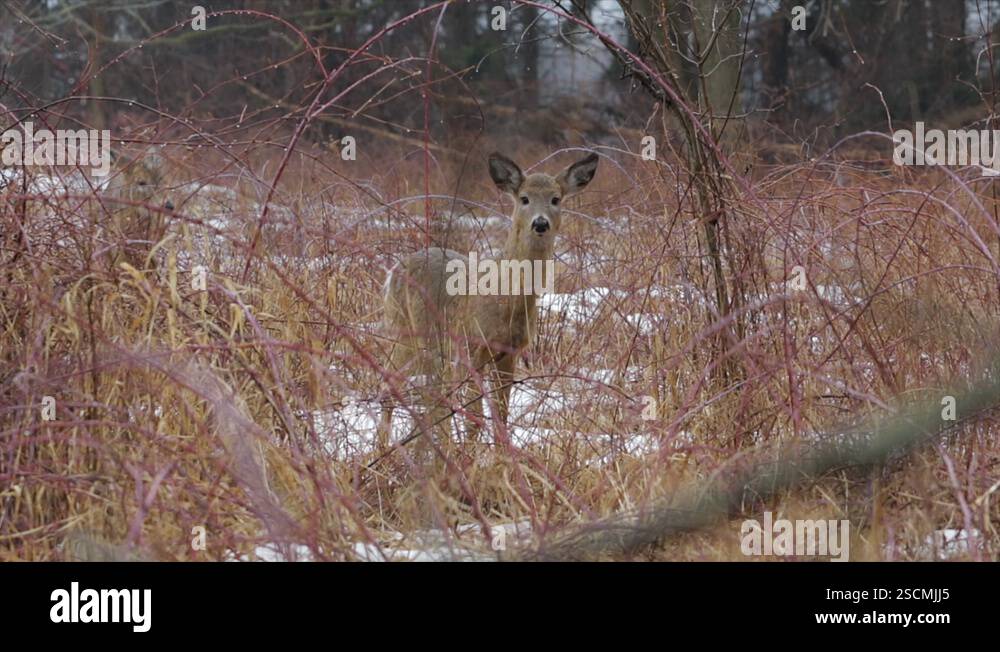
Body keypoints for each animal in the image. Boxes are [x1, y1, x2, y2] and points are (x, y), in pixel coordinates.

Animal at [379, 151, 599, 451]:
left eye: (556, 199)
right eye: (524, 198)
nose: (540, 223)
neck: (506, 299)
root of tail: (393, 271)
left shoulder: (510, 353)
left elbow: (502, 417)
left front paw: (500, 457)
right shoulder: (472, 345)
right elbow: (474, 418)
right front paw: (469, 456)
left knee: (435, 394)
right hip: (403, 328)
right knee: (389, 383)